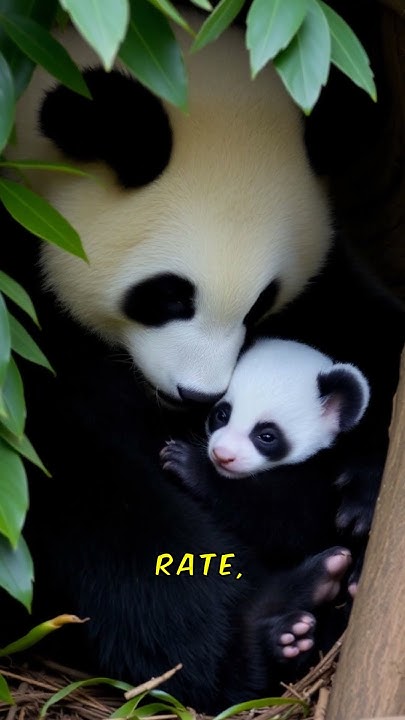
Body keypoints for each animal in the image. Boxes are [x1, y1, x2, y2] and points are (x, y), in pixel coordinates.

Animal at [1, 6, 404, 712]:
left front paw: (363, 488)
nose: (197, 397)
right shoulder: (22, 292)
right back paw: (270, 627)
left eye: (262, 303)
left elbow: (378, 342)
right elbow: (61, 457)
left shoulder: (330, 284)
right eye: (167, 294)